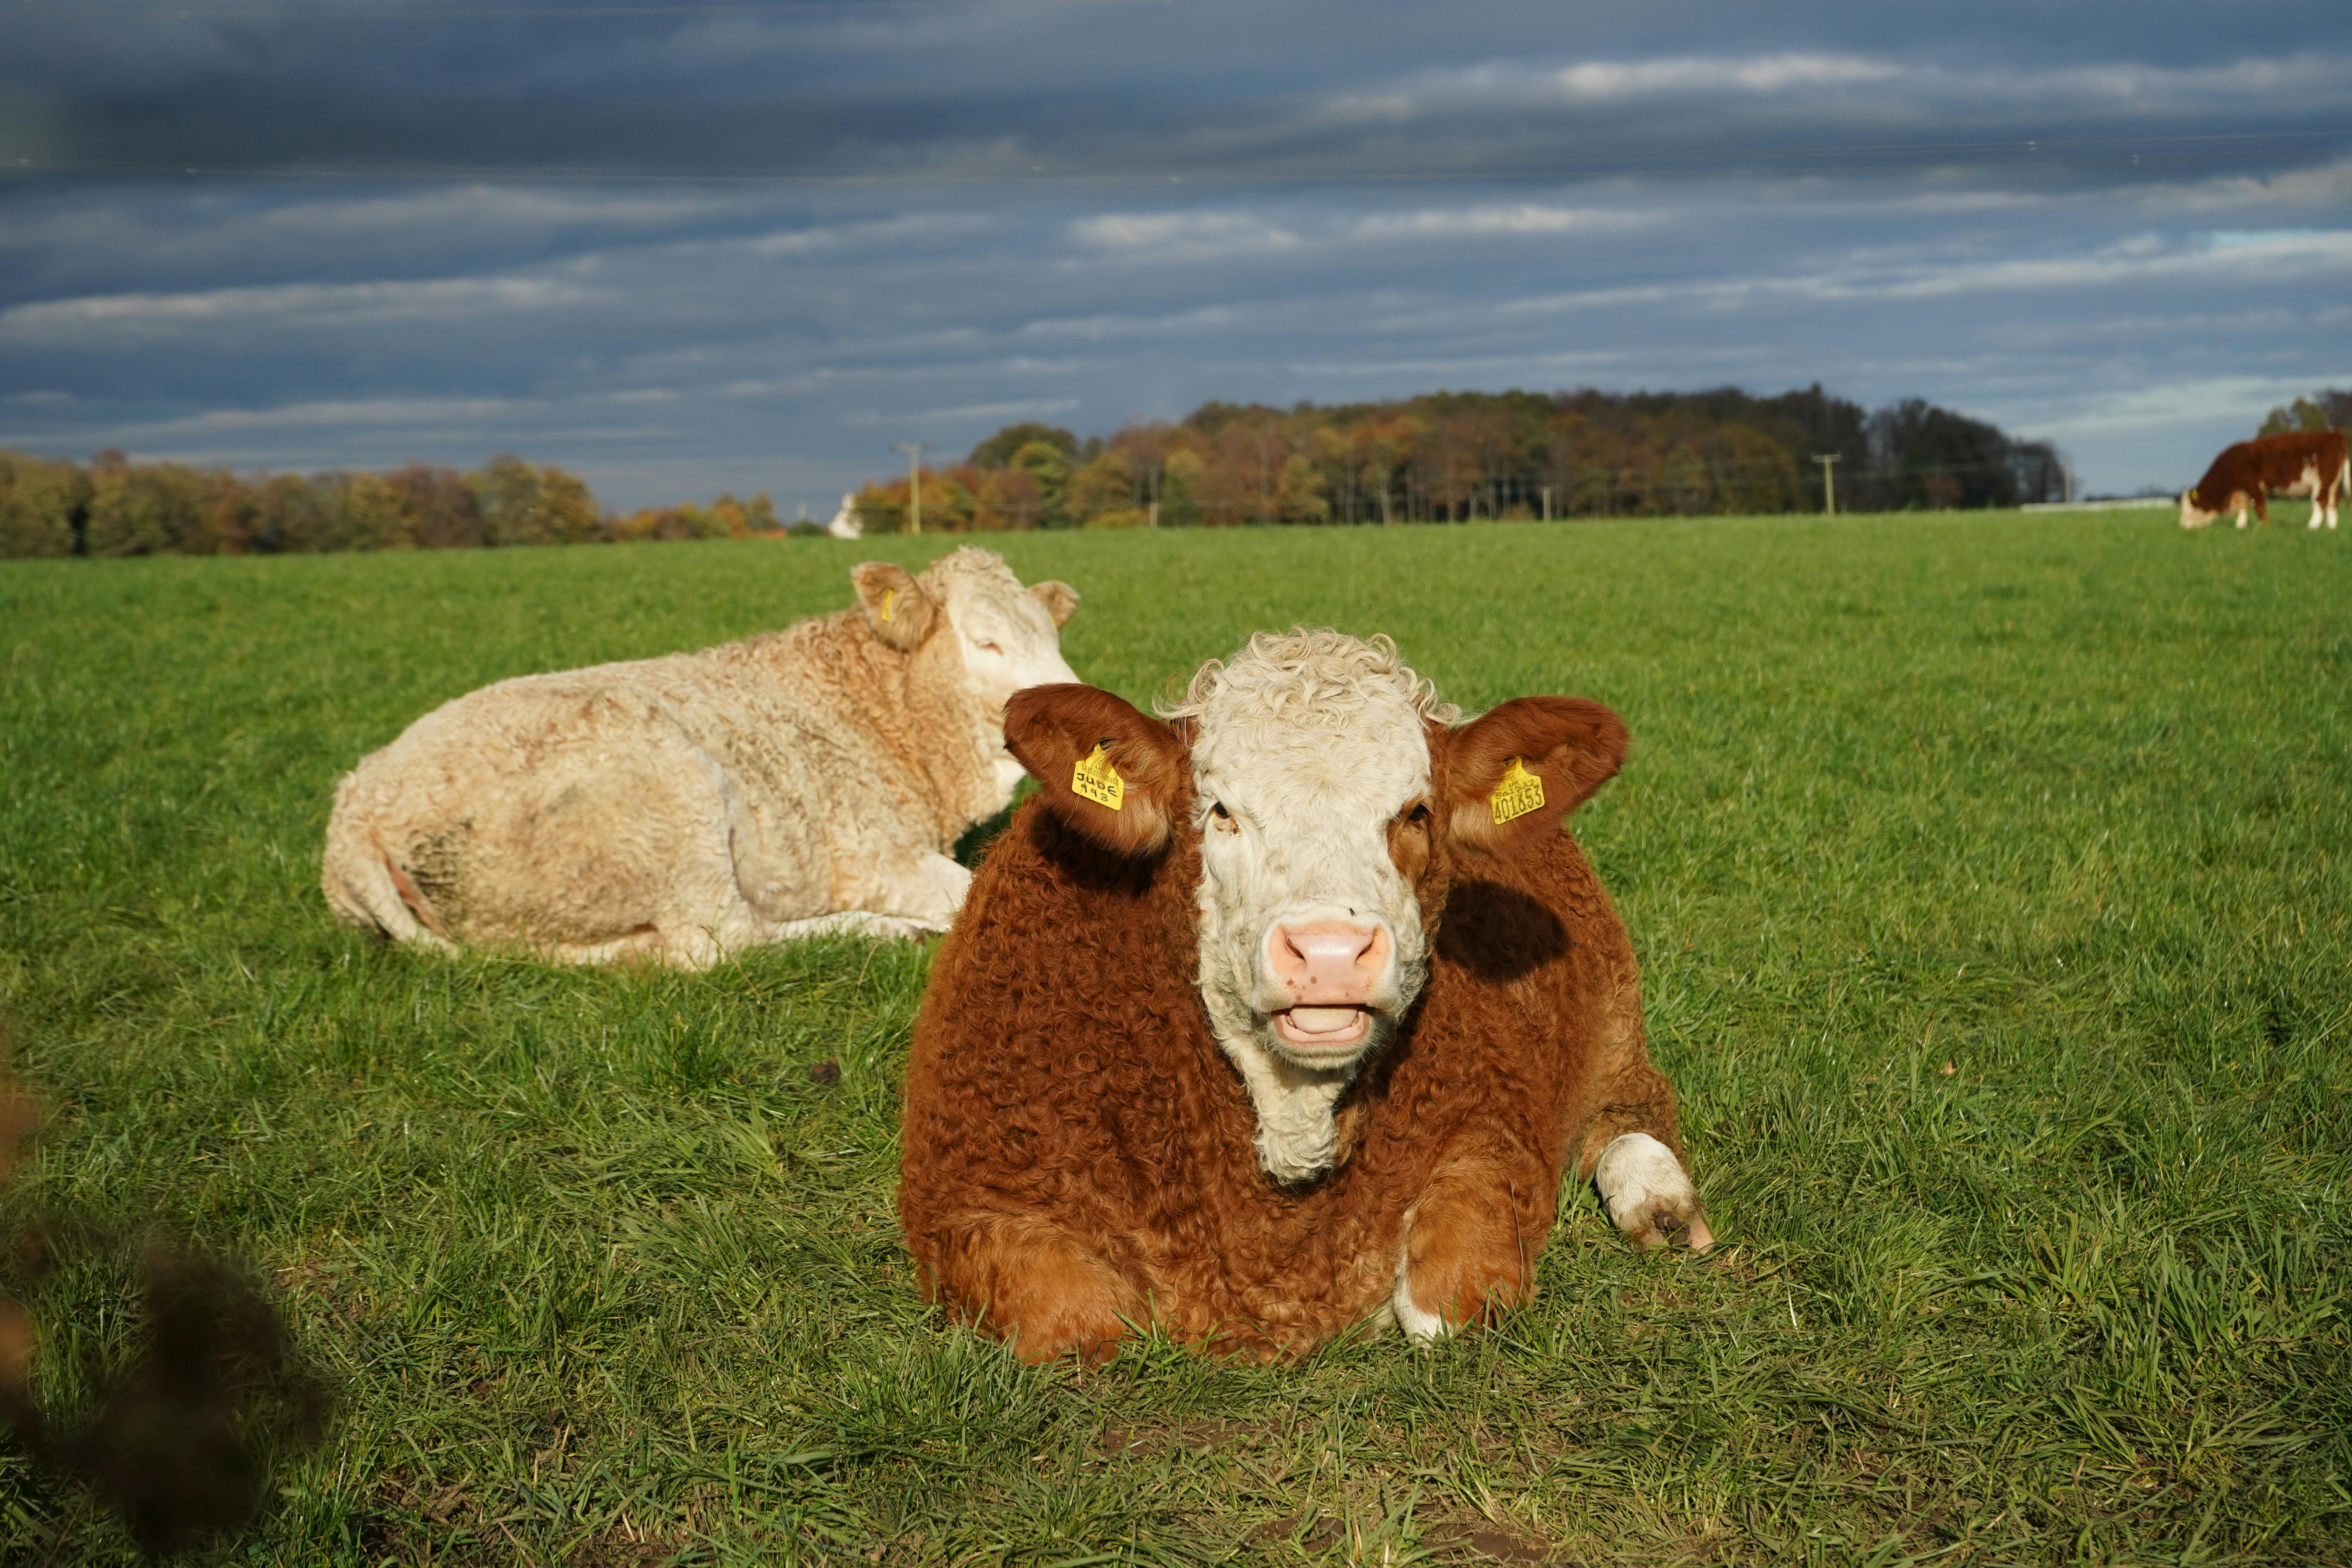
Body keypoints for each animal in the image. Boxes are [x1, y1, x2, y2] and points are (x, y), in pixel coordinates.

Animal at [322, 548, 1080, 969]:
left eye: (1051, 635)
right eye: (986, 642)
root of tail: (357, 805)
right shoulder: (876, 856)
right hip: (677, 806)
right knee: (726, 942)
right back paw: (891, 934)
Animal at [898, 630, 1710, 1364]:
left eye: (1417, 813)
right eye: (1220, 811)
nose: (1329, 953)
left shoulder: (1494, 1127)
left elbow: (1447, 1300)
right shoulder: (969, 1192)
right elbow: (1080, 1322)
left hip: (1616, 1023)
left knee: (1631, 1115)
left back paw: (1658, 1200)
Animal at [2179, 430, 2347, 530]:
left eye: (2191, 506)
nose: (2183, 524)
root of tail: (2334, 435)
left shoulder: (2253, 485)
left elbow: (2259, 507)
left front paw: (2265, 527)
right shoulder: (2241, 491)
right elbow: (2244, 509)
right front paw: (2241, 526)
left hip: (2321, 483)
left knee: (2321, 502)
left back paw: (2312, 526)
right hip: (2332, 484)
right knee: (2333, 504)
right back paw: (2331, 528)